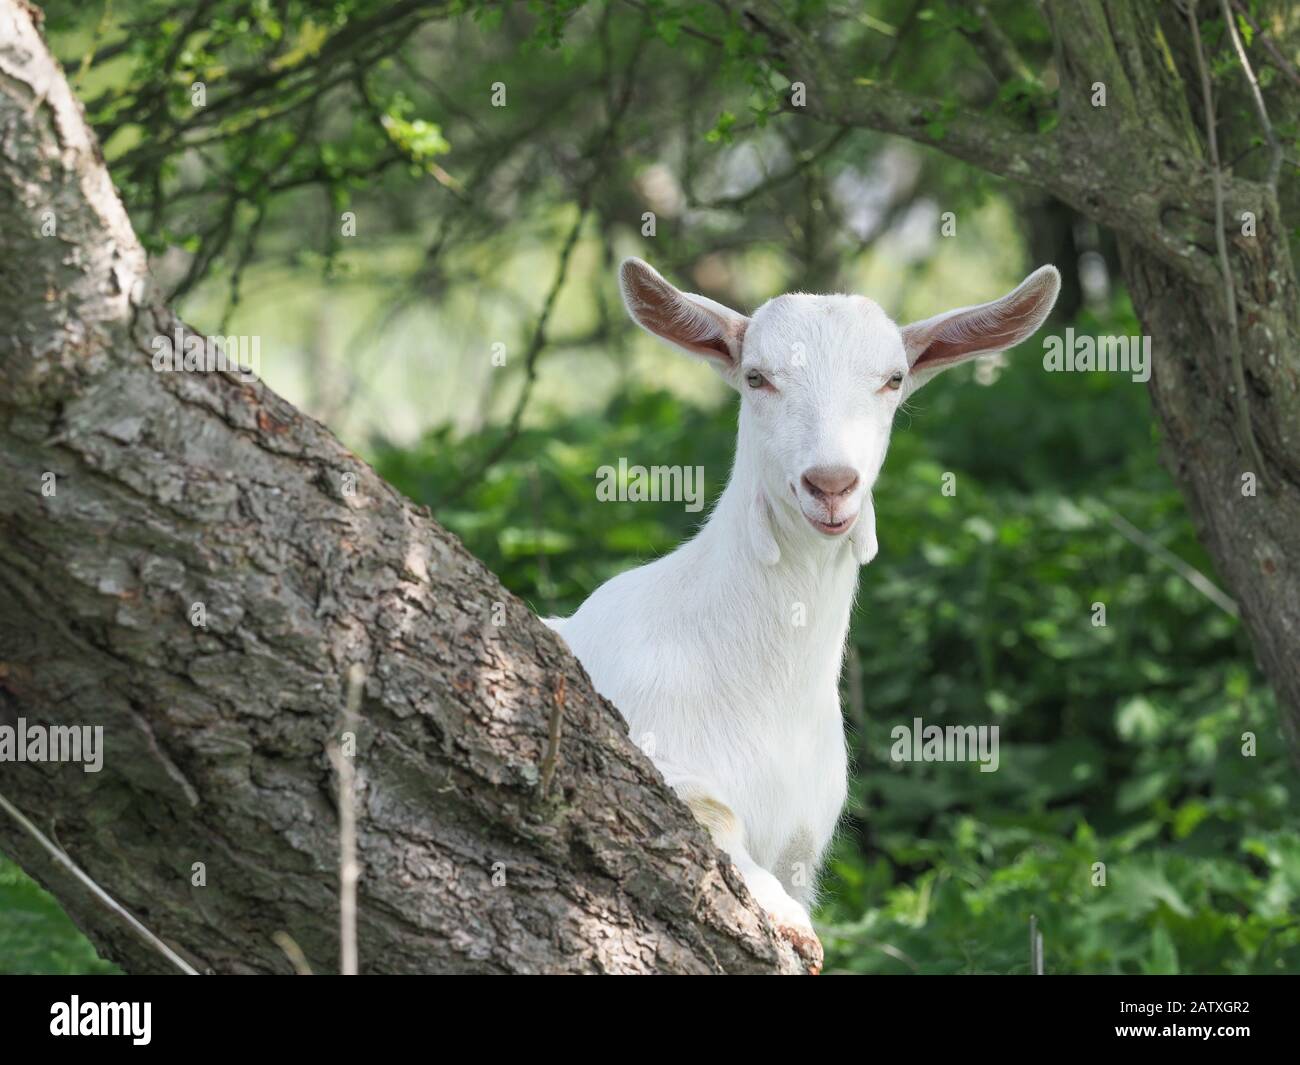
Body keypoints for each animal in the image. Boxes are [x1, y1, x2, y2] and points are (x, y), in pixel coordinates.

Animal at [545, 257, 1060, 968]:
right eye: (757, 377)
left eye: (893, 379)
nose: (832, 484)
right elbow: (712, 814)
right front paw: (788, 922)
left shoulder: (803, 844)